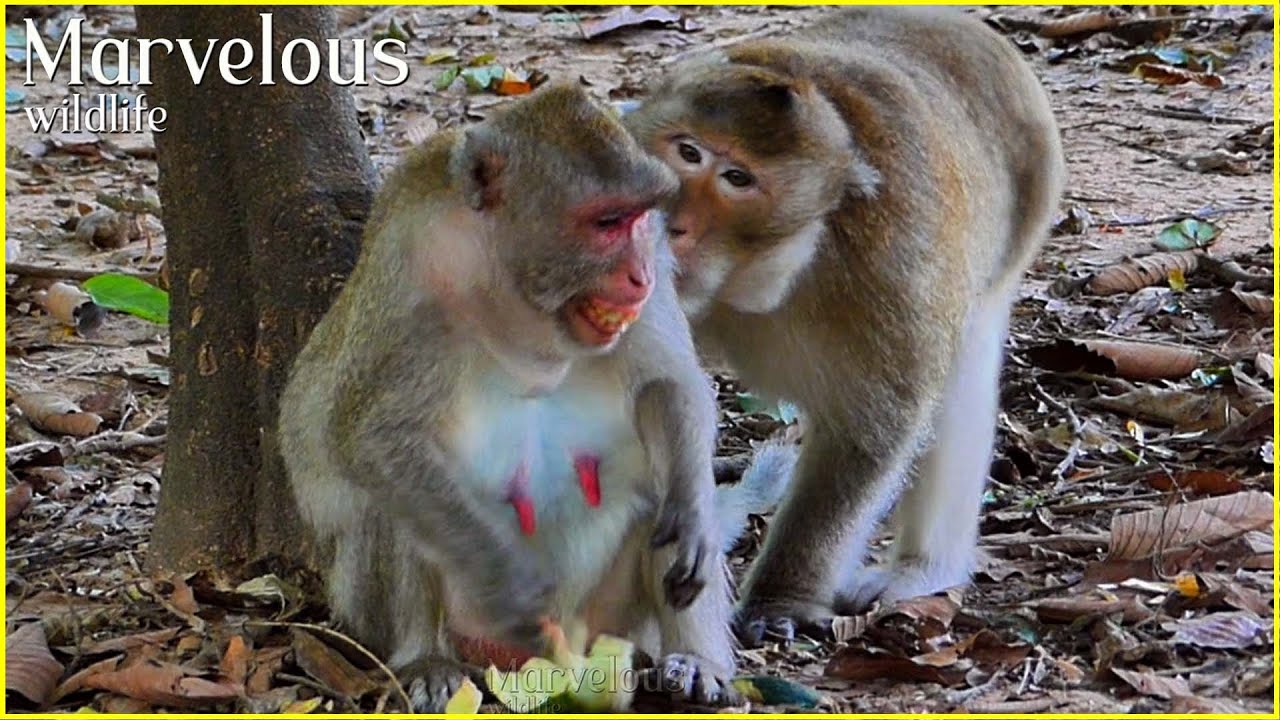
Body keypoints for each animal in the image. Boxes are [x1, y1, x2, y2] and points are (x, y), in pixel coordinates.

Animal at [278, 83, 777, 711]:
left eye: (640, 218)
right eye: (607, 221)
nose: (638, 277)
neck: (516, 292)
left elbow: (670, 382)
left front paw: (690, 513)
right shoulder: (410, 271)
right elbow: (370, 437)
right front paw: (504, 586)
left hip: (613, 615)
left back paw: (695, 659)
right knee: (390, 498)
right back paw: (427, 659)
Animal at [624, 6, 1066, 645]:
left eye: (737, 179)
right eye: (687, 152)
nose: (674, 222)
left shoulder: (893, 261)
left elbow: (871, 430)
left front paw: (780, 596)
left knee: (961, 378)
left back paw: (923, 568)